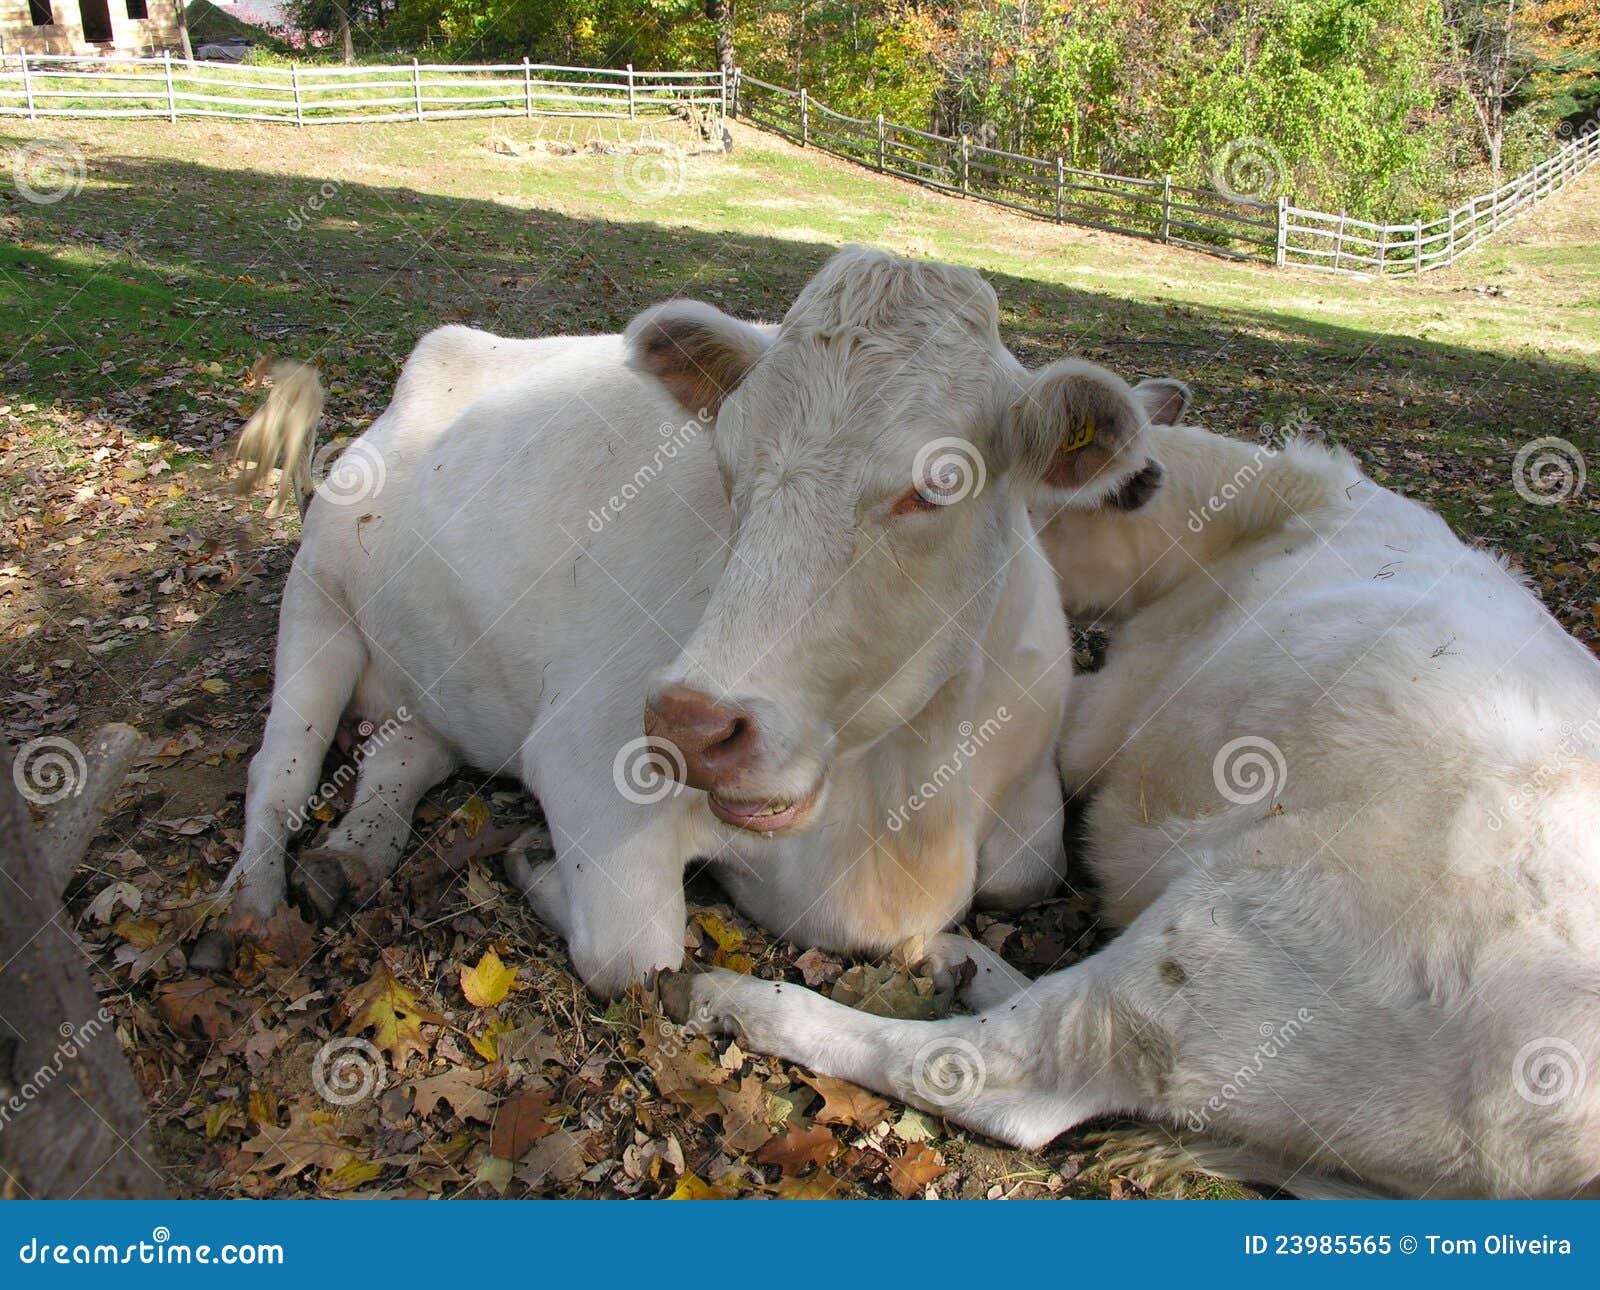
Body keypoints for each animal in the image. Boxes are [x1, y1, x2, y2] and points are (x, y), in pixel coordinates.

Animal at [221, 247, 1167, 997]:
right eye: (727, 461)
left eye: (937, 485)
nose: (690, 723)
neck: (897, 824)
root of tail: (450, 345)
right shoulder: (584, 752)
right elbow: (640, 952)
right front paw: (533, 861)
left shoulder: (1029, 814)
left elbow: (1026, 875)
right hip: (317, 598)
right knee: (280, 770)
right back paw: (251, 903)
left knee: (401, 749)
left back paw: (352, 853)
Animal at [666, 411, 1600, 1198]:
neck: (1264, 515)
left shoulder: (1103, 715)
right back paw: (953, 956)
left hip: (1221, 948)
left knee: (1004, 1072)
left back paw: (748, 1001)